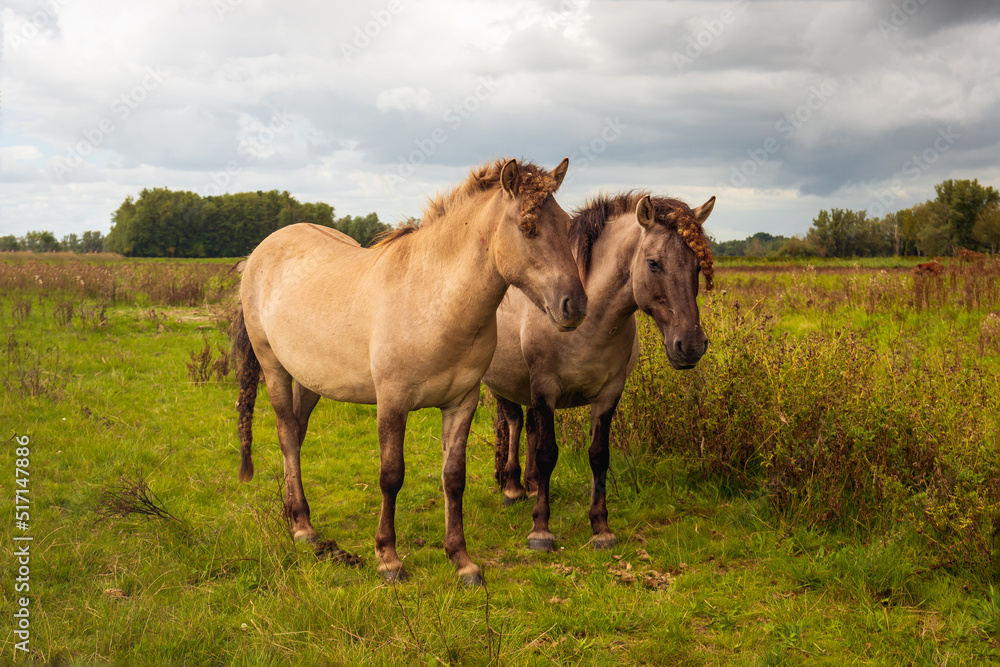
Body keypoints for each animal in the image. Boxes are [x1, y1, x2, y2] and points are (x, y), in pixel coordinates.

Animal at [231, 158, 588, 585]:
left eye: (566, 224)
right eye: (527, 226)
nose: (575, 306)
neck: (433, 297)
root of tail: (259, 252)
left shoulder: (461, 403)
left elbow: (453, 478)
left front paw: (462, 560)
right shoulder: (392, 402)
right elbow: (391, 475)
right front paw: (388, 558)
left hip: (311, 378)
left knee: (297, 435)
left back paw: (293, 515)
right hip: (273, 368)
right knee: (287, 435)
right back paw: (302, 526)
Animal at [483, 191, 715, 551]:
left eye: (697, 265)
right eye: (653, 263)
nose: (690, 345)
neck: (589, 323)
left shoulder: (608, 394)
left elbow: (598, 456)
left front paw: (601, 528)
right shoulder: (545, 388)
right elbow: (548, 453)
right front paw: (541, 529)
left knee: (530, 427)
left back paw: (532, 485)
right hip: (503, 386)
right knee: (515, 421)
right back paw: (513, 488)